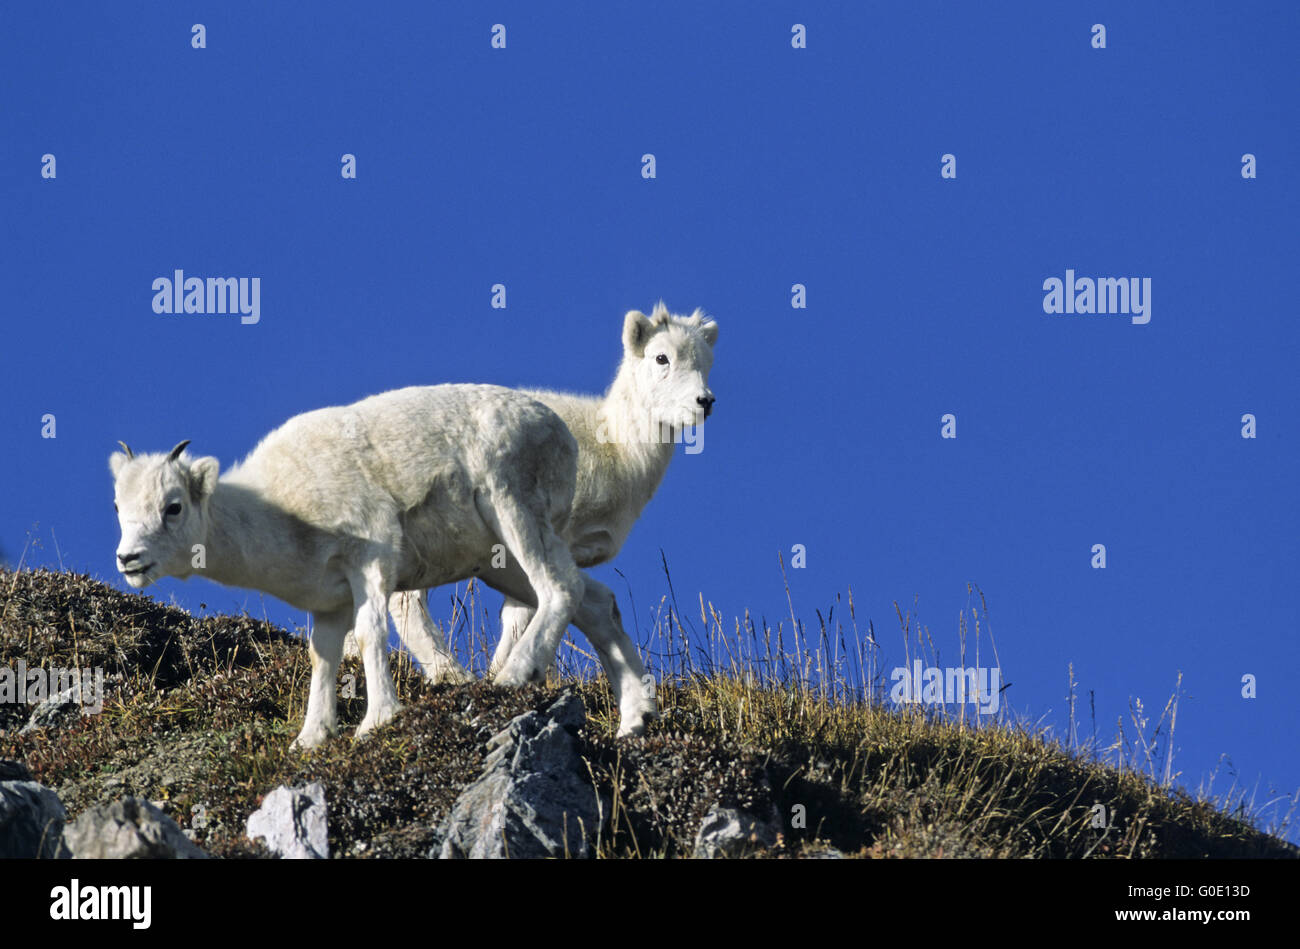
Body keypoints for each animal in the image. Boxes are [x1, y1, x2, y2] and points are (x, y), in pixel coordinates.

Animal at [108, 383, 654, 749]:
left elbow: (372, 633)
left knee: (561, 589)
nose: (128, 559)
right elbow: (323, 658)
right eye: (118, 506)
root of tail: (557, 430)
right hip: (497, 561)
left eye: (173, 506)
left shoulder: (370, 559)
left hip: (515, 512)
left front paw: (377, 722)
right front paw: (311, 738)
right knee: (596, 601)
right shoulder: (328, 602)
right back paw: (635, 720)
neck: (278, 510)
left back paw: (517, 676)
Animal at [387, 303, 718, 708]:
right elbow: (522, 615)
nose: (704, 402)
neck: (617, 449)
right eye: (661, 357)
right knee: (406, 602)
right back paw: (451, 674)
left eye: (707, 361)